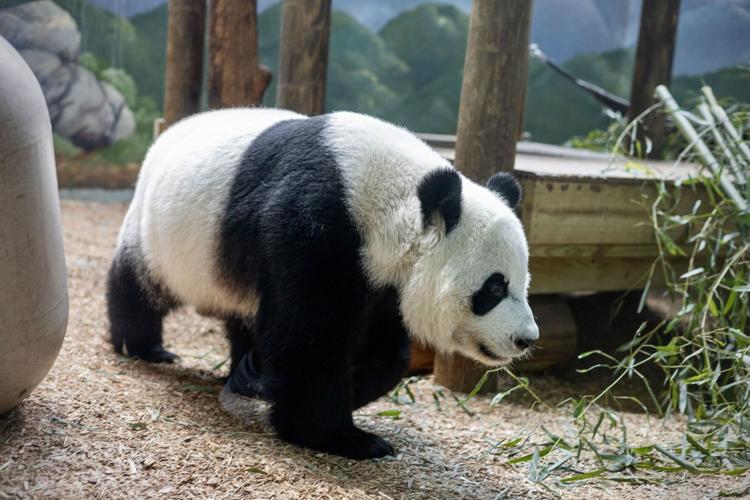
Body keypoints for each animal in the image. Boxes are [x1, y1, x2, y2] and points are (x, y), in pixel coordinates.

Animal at [107, 108, 539, 459]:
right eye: (494, 288)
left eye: (524, 283)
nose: (525, 339)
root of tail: (167, 133)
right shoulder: (314, 225)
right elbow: (308, 337)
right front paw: (340, 437)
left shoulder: (378, 277)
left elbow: (386, 349)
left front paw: (352, 386)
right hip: (161, 231)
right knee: (138, 284)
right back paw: (144, 345)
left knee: (243, 316)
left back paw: (245, 372)